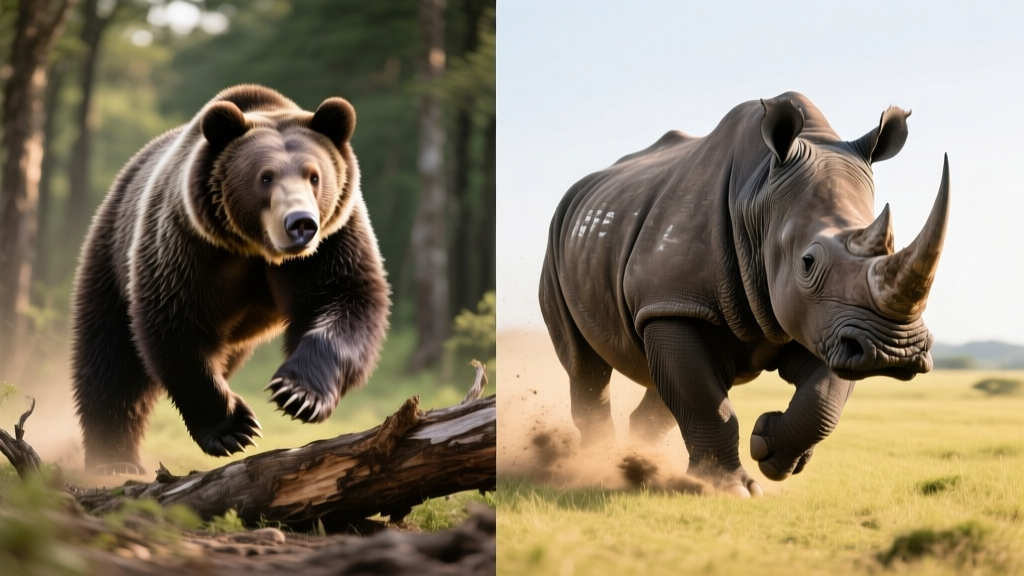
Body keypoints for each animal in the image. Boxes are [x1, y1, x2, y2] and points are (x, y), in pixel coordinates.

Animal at [70, 84, 391, 474]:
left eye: (314, 176)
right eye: (266, 177)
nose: (300, 223)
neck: (257, 247)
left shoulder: (332, 243)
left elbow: (346, 301)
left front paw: (297, 394)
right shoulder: (189, 245)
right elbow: (175, 324)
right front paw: (234, 429)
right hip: (111, 253)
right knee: (110, 359)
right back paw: (113, 459)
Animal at [539, 92, 949, 496]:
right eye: (808, 262)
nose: (895, 352)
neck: (758, 198)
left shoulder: (828, 323)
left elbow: (824, 399)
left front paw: (770, 449)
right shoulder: (676, 302)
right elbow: (704, 399)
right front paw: (731, 489)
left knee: (658, 382)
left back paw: (639, 464)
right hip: (560, 242)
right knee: (584, 366)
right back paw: (599, 463)